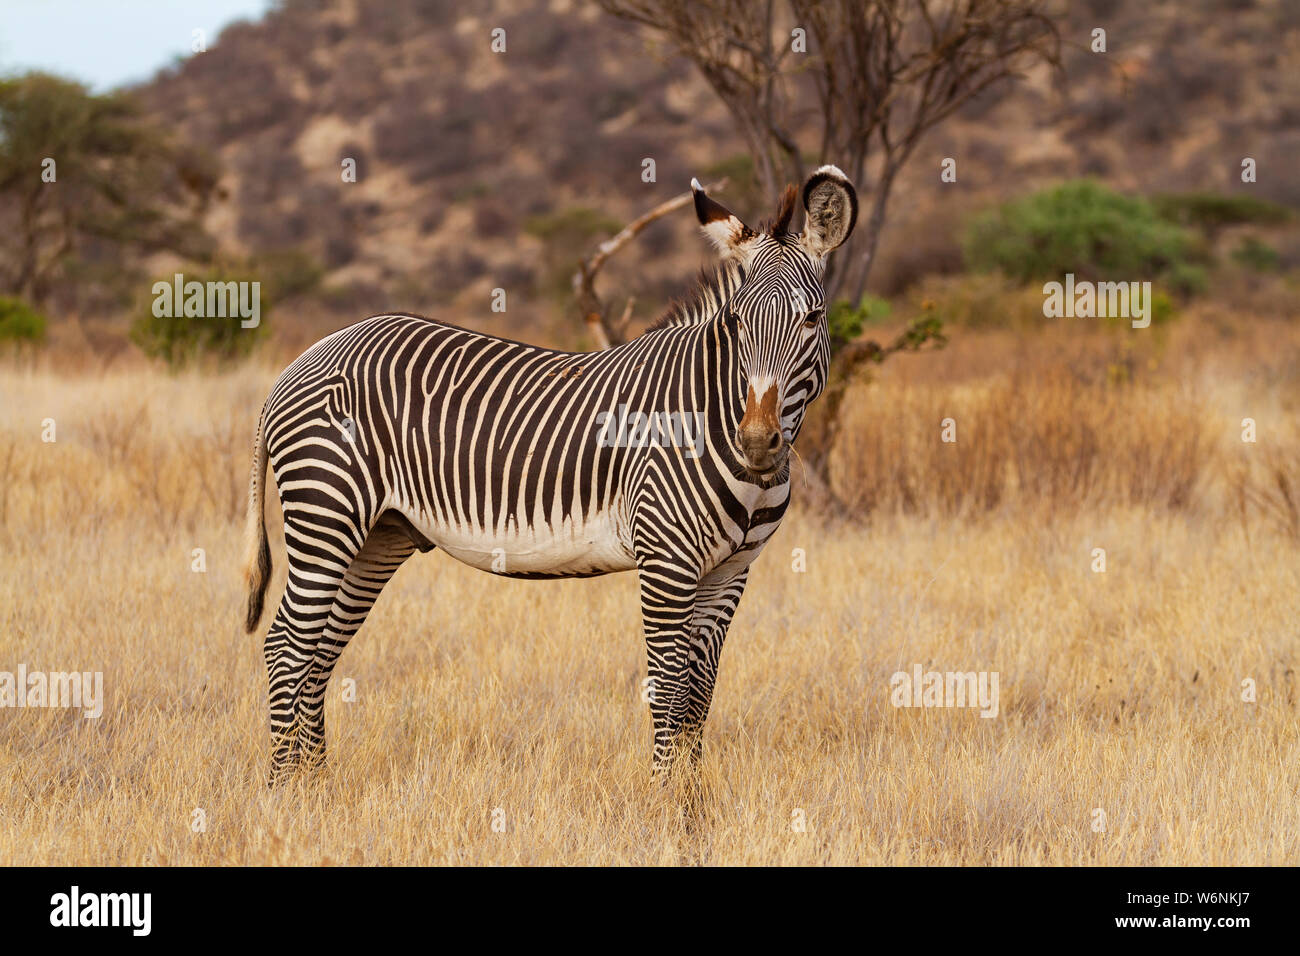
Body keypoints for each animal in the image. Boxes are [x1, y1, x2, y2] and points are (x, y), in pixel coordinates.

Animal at [242, 166, 858, 783]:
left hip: (377, 535)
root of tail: (305, 359)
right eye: (736, 323)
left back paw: (317, 786)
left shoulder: (730, 572)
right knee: (286, 648)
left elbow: (699, 697)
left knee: (319, 654)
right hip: (327, 513)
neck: (708, 413)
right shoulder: (667, 563)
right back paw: (284, 791)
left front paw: (693, 802)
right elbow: (669, 692)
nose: (756, 442)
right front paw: (664, 804)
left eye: (813, 318)